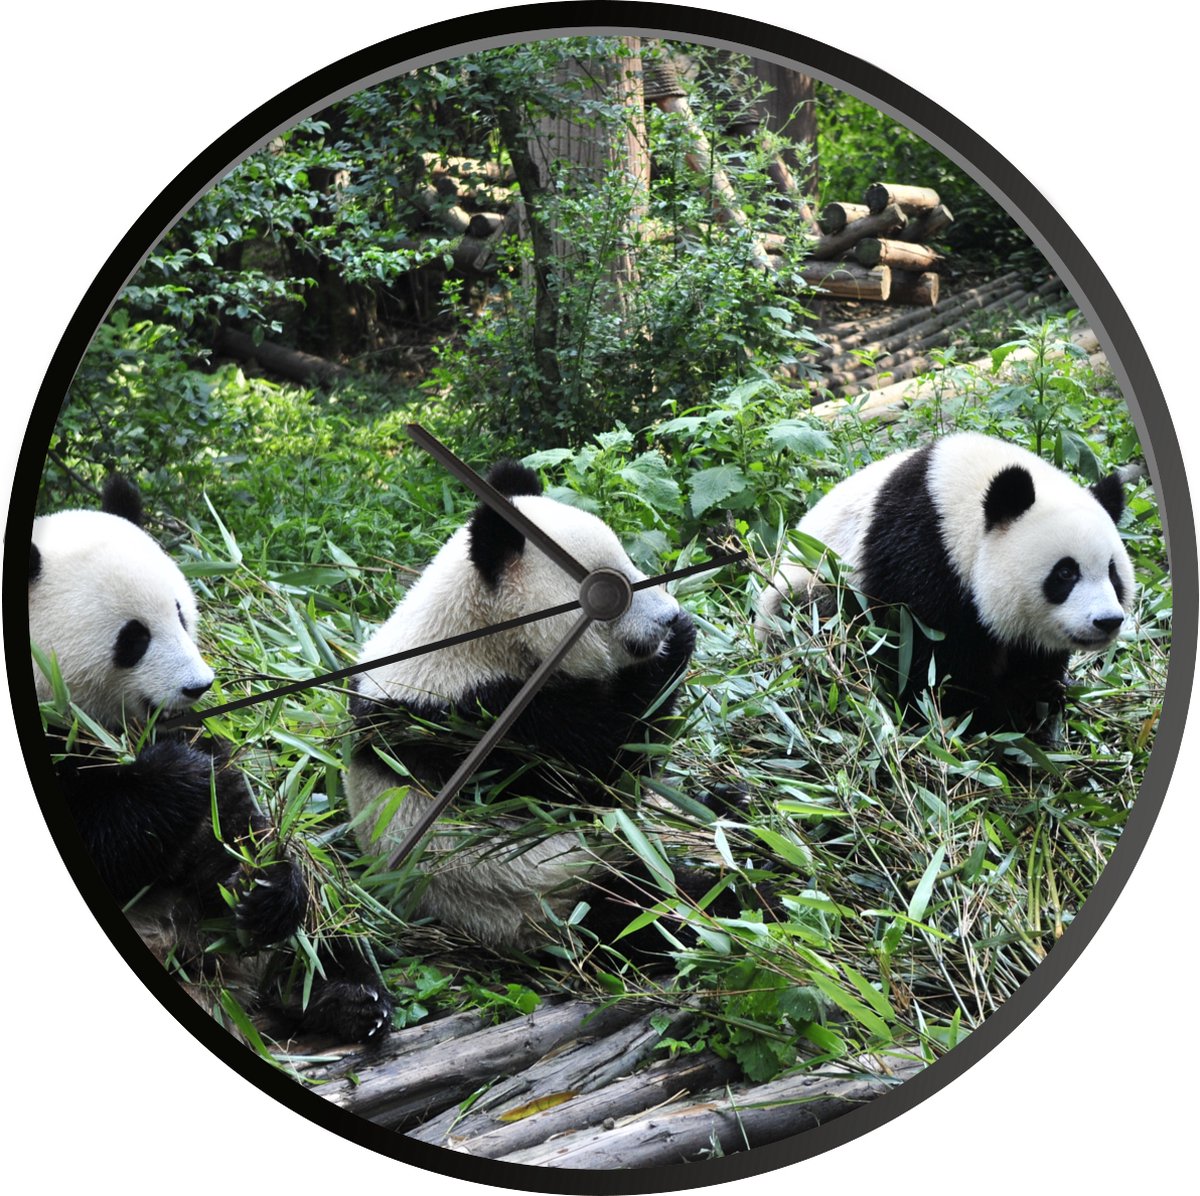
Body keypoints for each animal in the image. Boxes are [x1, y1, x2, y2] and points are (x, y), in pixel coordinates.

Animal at [30, 477, 392, 1040]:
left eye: (181, 612)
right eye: (133, 638)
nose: (198, 686)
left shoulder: (203, 732)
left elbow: (236, 829)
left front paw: (264, 889)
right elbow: (111, 845)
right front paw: (178, 774)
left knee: (324, 929)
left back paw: (345, 996)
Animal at [346, 462, 697, 951]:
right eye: (613, 583)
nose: (669, 615)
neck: (481, 636)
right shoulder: (481, 720)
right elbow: (600, 775)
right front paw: (675, 646)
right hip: (548, 894)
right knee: (650, 905)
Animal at [757, 432, 1135, 736]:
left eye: (1113, 573)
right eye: (1066, 573)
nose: (1107, 621)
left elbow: (1033, 660)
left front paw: (1038, 699)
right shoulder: (920, 557)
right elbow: (931, 666)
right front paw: (992, 716)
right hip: (811, 587)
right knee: (815, 617)